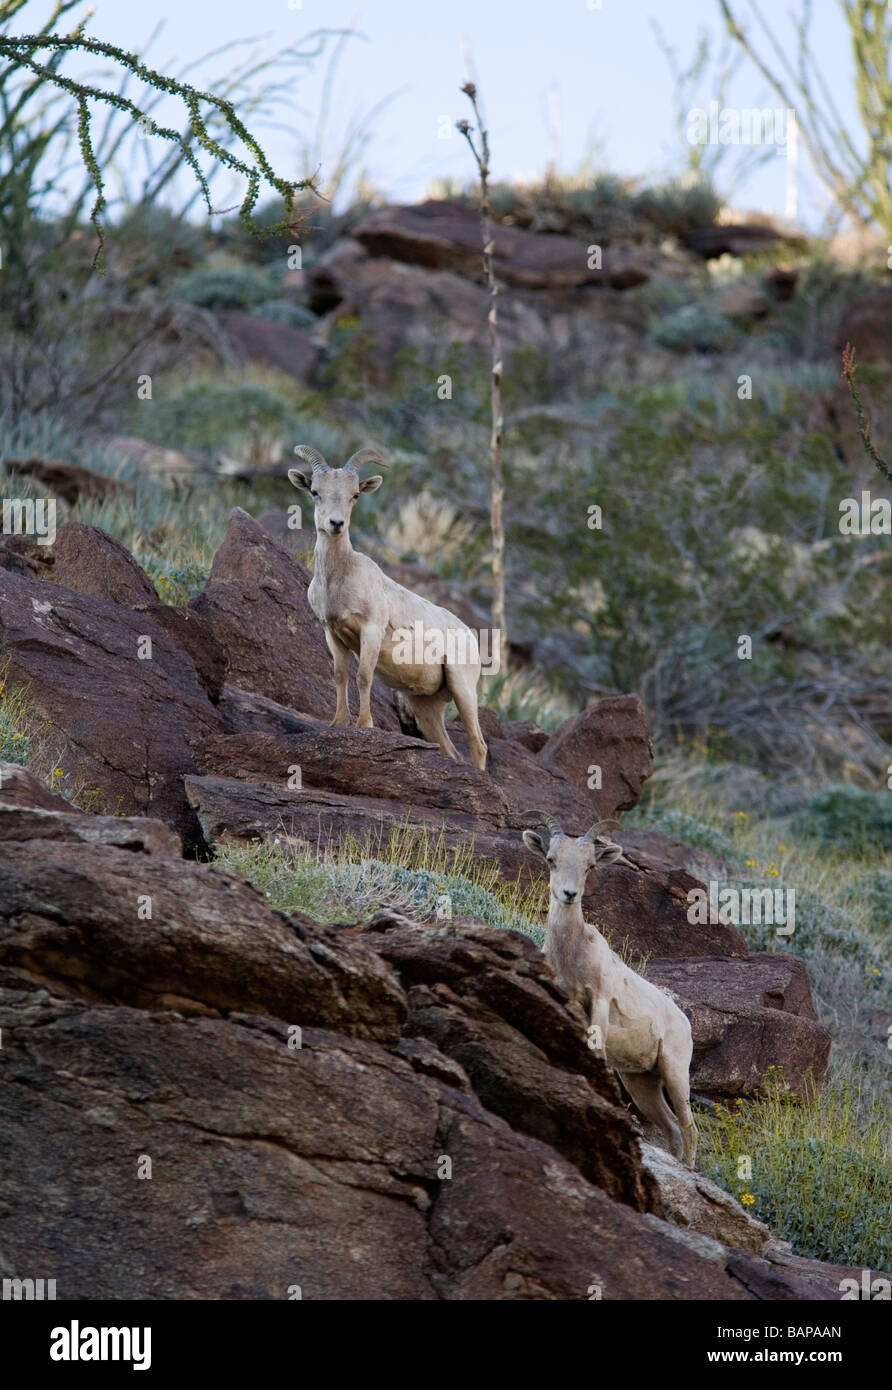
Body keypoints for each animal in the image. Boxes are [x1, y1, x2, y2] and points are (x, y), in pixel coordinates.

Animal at [288, 445, 488, 770]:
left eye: (355, 495)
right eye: (315, 492)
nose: (336, 524)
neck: (340, 579)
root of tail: (471, 637)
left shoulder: (371, 630)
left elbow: (363, 677)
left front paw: (364, 725)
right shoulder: (333, 634)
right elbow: (340, 675)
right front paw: (338, 723)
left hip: (463, 688)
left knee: (478, 744)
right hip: (426, 706)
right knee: (451, 750)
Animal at [521, 810, 697, 1166]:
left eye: (590, 866)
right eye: (550, 860)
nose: (569, 894)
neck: (572, 956)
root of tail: (685, 1024)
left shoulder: (600, 1002)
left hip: (674, 1074)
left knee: (689, 1129)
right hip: (641, 1083)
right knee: (671, 1129)